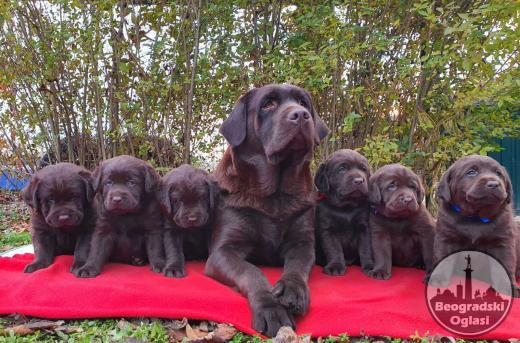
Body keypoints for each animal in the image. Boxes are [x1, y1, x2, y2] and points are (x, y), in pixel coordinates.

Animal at [204, 84, 330, 338]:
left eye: (303, 103)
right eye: (268, 104)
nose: (301, 115)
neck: (275, 195)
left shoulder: (302, 242)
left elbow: (297, 265)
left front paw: (292, 290)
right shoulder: (223, 251)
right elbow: (251, 272)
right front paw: (270, 308)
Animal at [432, 156, 516, 292]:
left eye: (498, 173)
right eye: (471, 172)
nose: (494, 184)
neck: (475, 218)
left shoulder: (503, 242)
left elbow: (504, 264)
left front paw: (506, 286)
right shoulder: (446, 238)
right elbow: (442, 258)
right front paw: (437, 278)